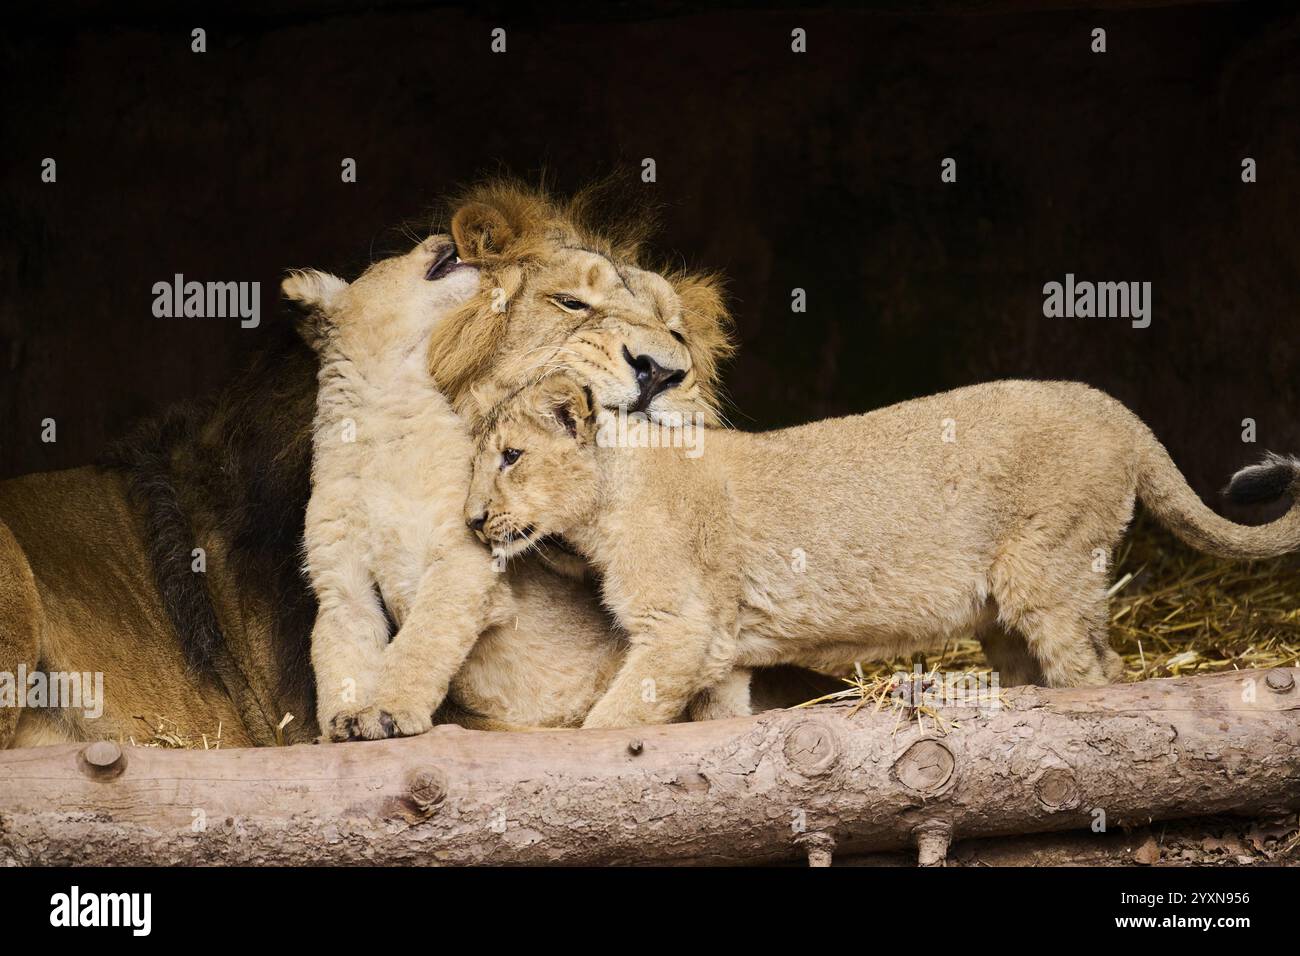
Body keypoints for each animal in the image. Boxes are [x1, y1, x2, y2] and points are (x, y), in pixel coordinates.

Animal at [465, 374, 1300, 728]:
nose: (473, 520)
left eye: (509, 456)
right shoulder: (721, 649)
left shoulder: (681, 630)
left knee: (1097, 678)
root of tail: (1118, 409)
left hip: (1045, 573)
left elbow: (611, 722)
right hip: (1008, 615)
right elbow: (718, 724)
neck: (608, 494)